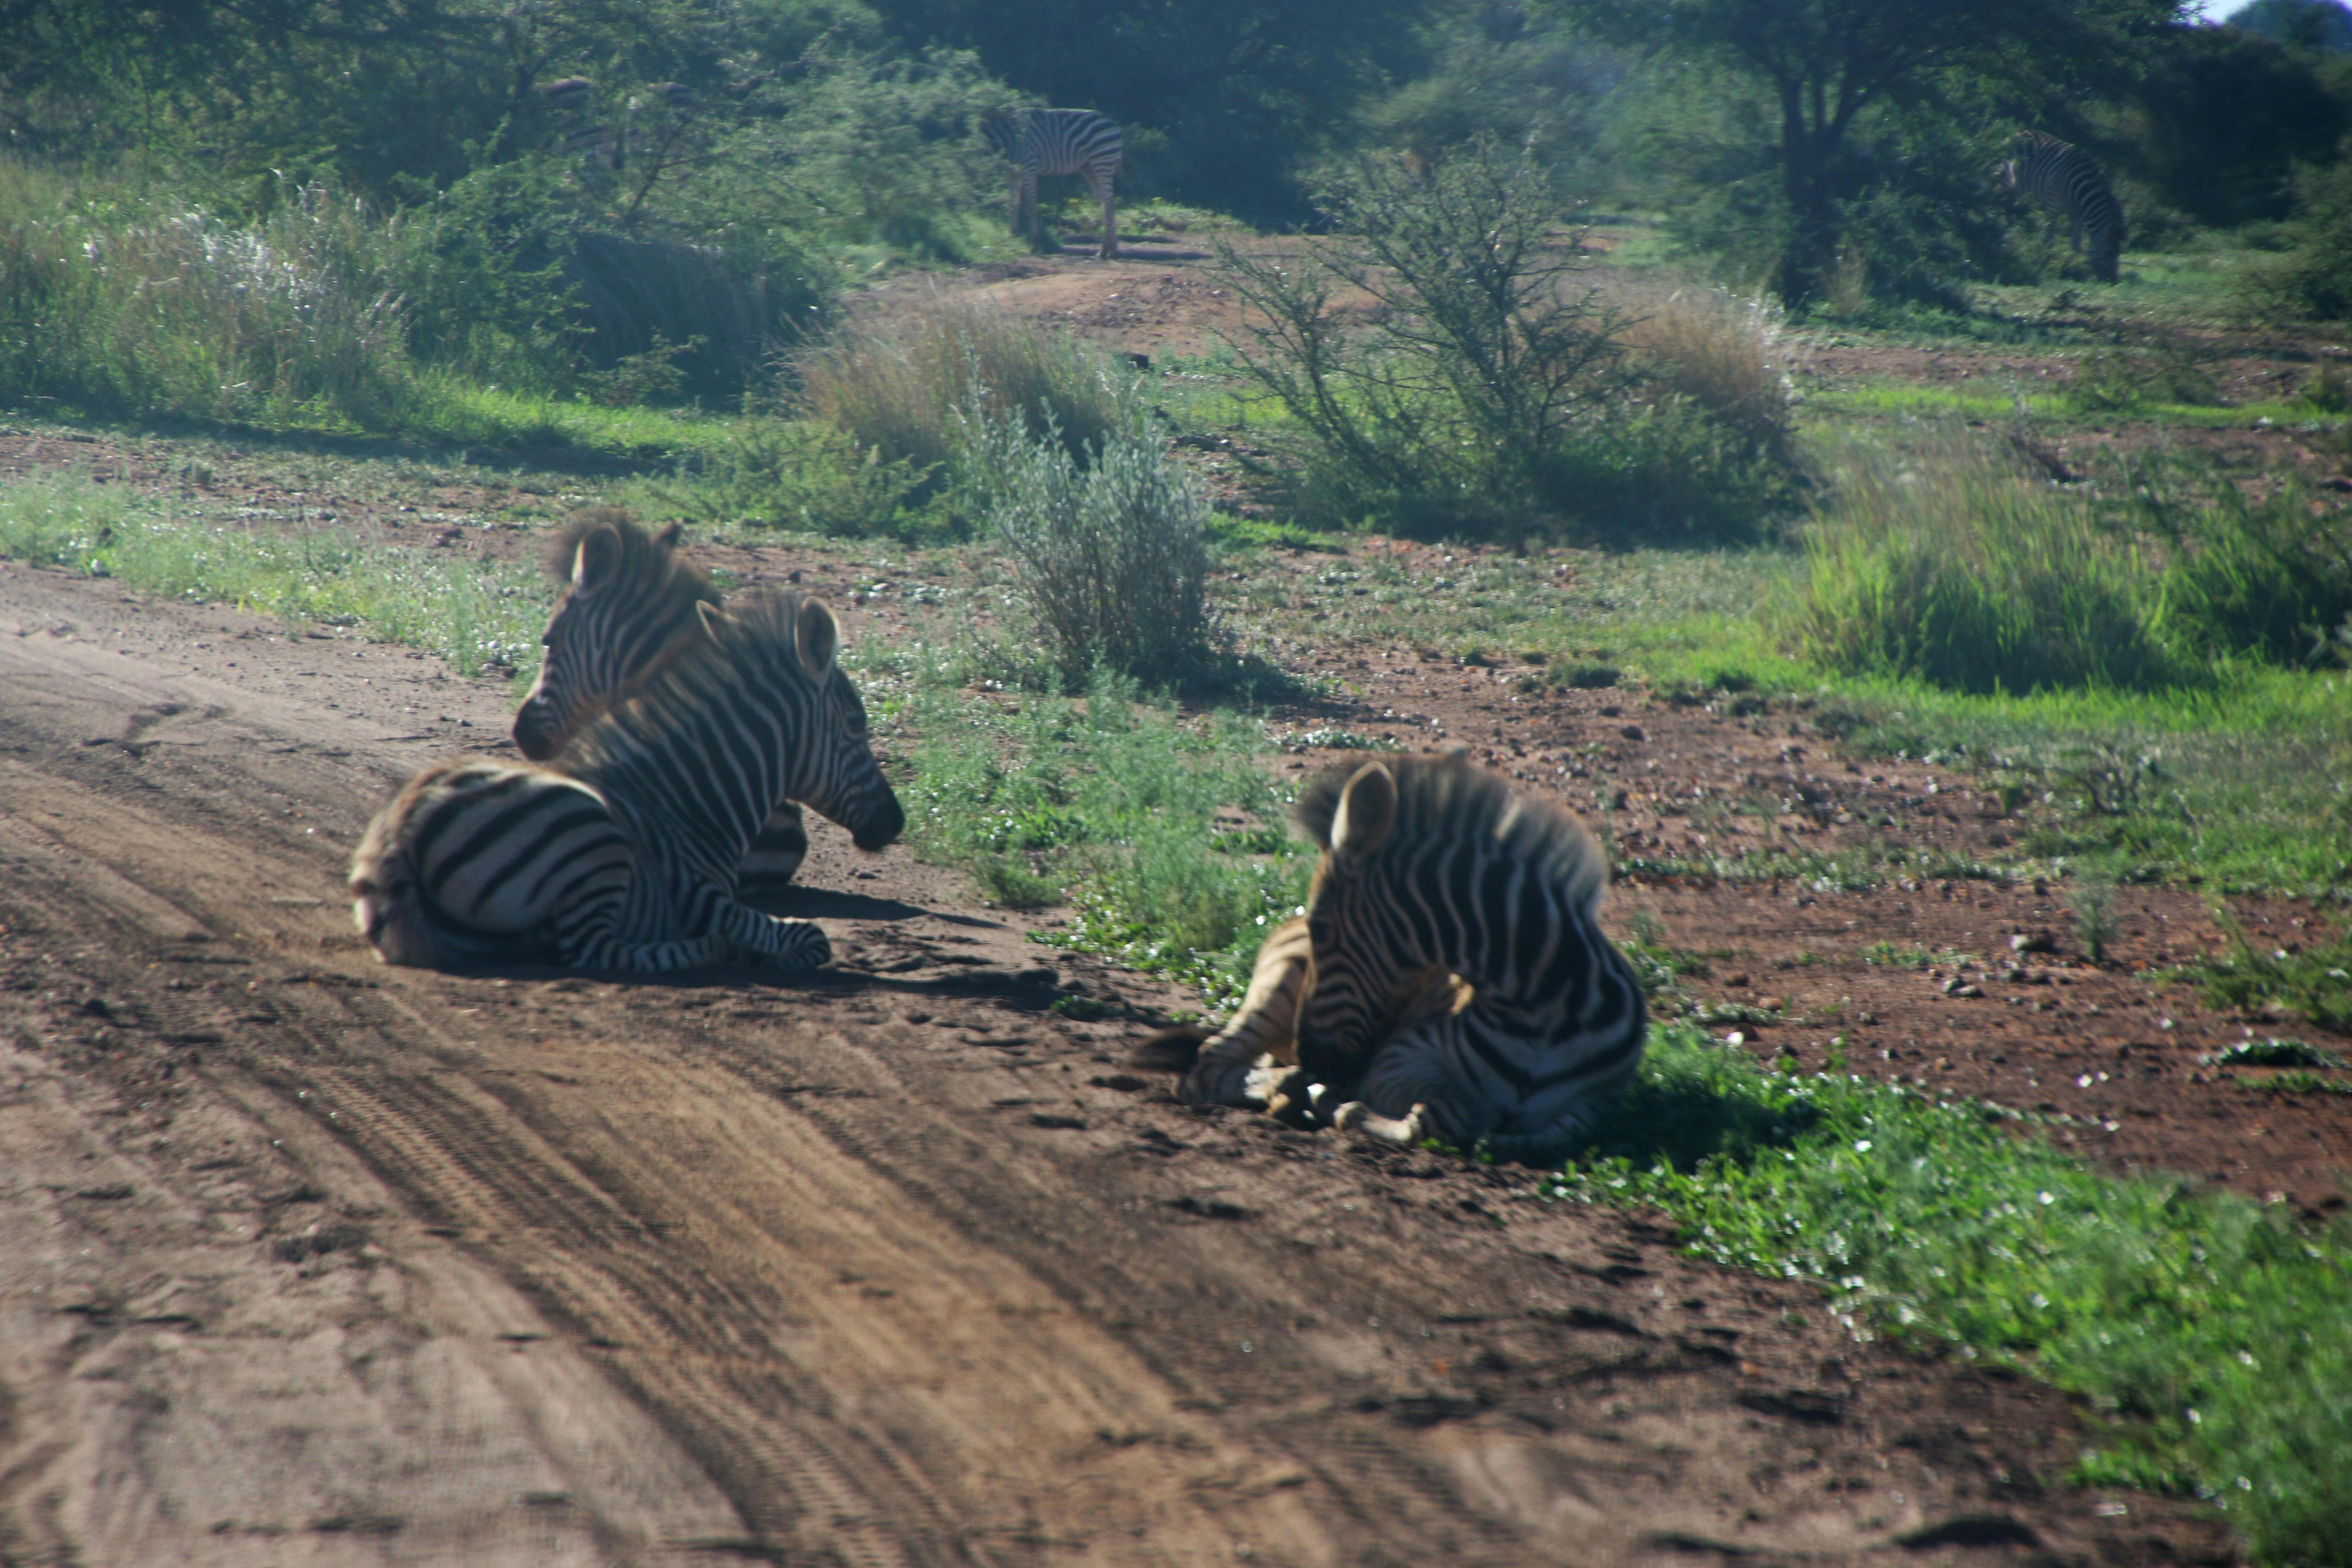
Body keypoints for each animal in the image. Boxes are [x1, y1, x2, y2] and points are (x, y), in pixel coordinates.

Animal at [351, 591, 903, 973]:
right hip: (593, 838)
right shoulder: (703, 900)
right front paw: (757, 953)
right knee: (593, 951)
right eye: (858, 726)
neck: (690, 805)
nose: (896, 823)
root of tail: (400, 832)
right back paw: (712, 951)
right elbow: (811, 939)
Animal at [979, 108, 1122, 260]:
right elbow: (1013, 204)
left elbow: (1031, 206)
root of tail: (1112, 123)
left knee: (1109, 202)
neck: (1007, 138)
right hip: (1088, 167)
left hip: (1102, 161)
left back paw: (1106, 250)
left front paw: (1035, 245)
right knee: (1106, 202)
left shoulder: (1029, 166)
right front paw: (1013, 236)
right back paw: (1110, 250)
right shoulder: (1011, 172)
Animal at [1146, 754, 1646, 1157]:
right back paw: (1289, 1088)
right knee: (1208, 1065)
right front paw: (1339, 1104)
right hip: (1278, 991)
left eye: (1322, 929)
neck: (1543, 1005)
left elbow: (1548, 1135)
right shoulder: (1402, 1057)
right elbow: (1440, 1117)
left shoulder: (1595, 1103)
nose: (1313, 1059)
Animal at [2004, 132, 2125, 285]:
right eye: (2109, 253)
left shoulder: (2078, 214)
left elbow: (2076, 244)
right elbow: (2048, 239)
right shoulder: (2053, 207)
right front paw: (2043, 263)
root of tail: (2020, 132)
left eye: (2119, 253)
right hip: (2010, 182)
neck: (2079, 191)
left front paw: (2075, 265)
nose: (2114, 281)